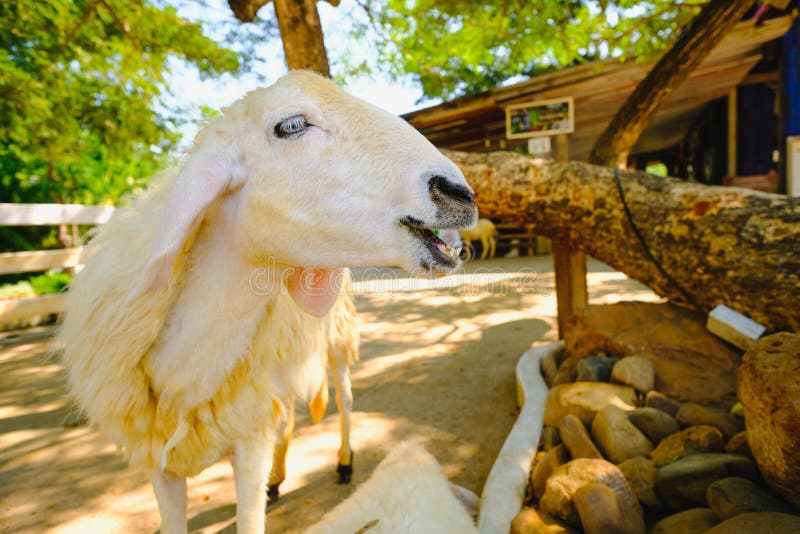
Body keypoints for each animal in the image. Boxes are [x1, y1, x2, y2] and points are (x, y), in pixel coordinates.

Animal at [59, 70, 477, 534]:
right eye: (291, 125)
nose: (460, 194)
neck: (181, 377)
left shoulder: (248, 441)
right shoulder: (159, 462)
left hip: (336, 339)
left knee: (345, 399)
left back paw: (344, 460)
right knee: (288, 413)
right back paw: (278, 477)